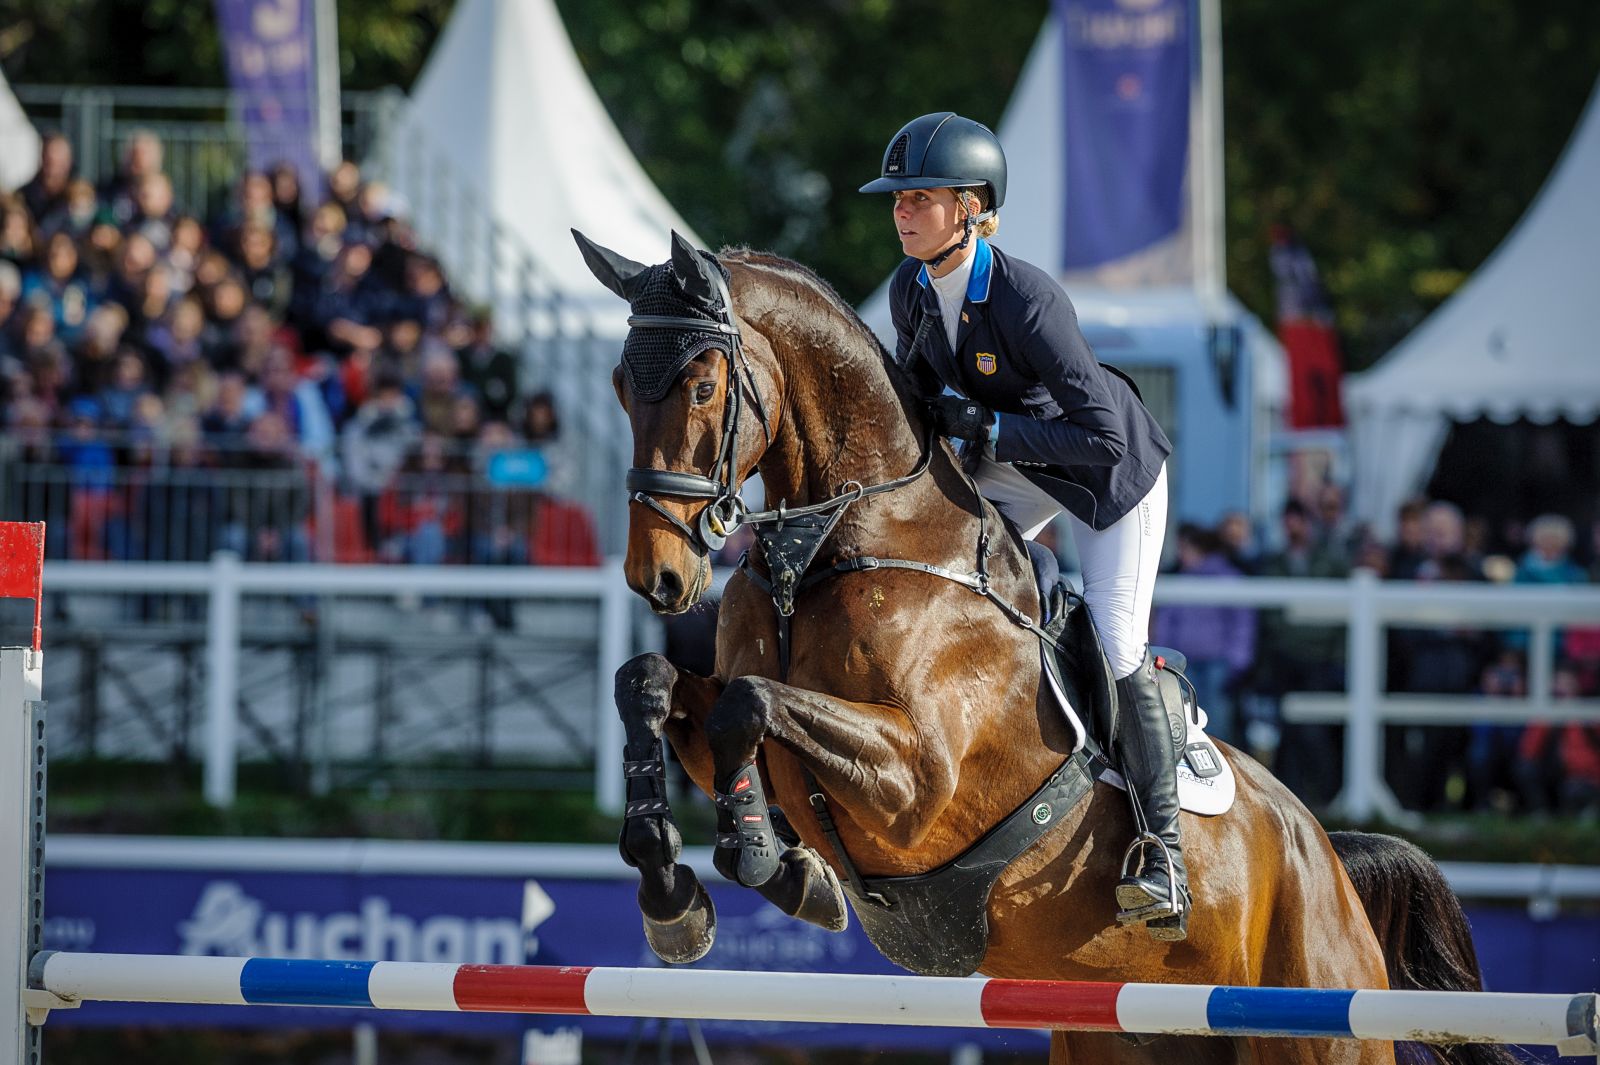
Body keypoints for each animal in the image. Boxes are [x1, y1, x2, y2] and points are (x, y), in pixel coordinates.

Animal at [575, 229, 1514, 1065]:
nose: (658, 578)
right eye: (619, 383)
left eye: (702, 385)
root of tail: (1327, 855)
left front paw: (769, 860)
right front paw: (671, 886)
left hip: (1321, 1022)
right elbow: (651, 682)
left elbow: (749, 704)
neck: (825, 549)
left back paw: (1158, 873)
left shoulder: (919, 780)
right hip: (1122, 1035)